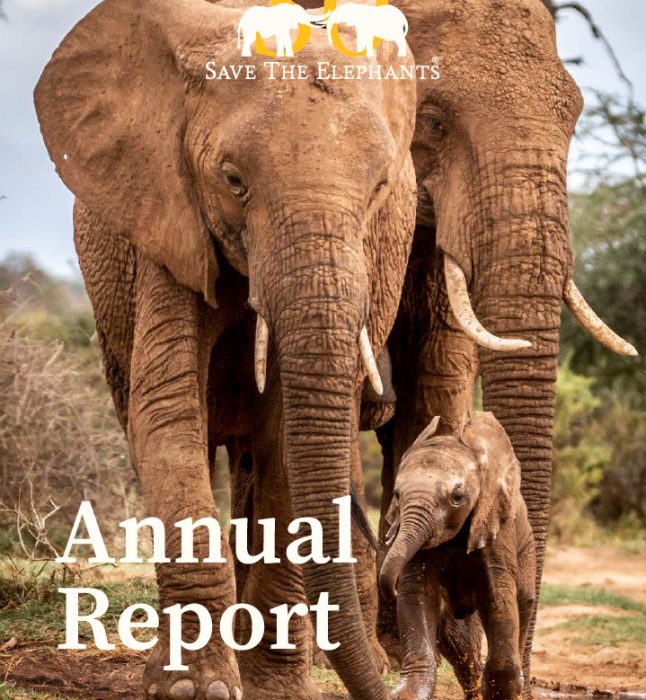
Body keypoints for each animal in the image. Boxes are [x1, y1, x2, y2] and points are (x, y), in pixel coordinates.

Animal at [34, 0, 418, 698]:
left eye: (381, 187)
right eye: (233, 180)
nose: (394, 681)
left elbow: (286, 440)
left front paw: (272, 689)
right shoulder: (166, 223)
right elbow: (167, 413)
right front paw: (197, 689)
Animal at [379, 413, 536, 700]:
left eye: (457, 497)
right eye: (397, 494)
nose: (391, 590)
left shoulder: (495, 524)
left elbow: (497, 594)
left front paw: (503, 691)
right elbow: (417, 593)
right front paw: (408, 693)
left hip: (526, 549)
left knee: (523, 603)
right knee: (453, 637)